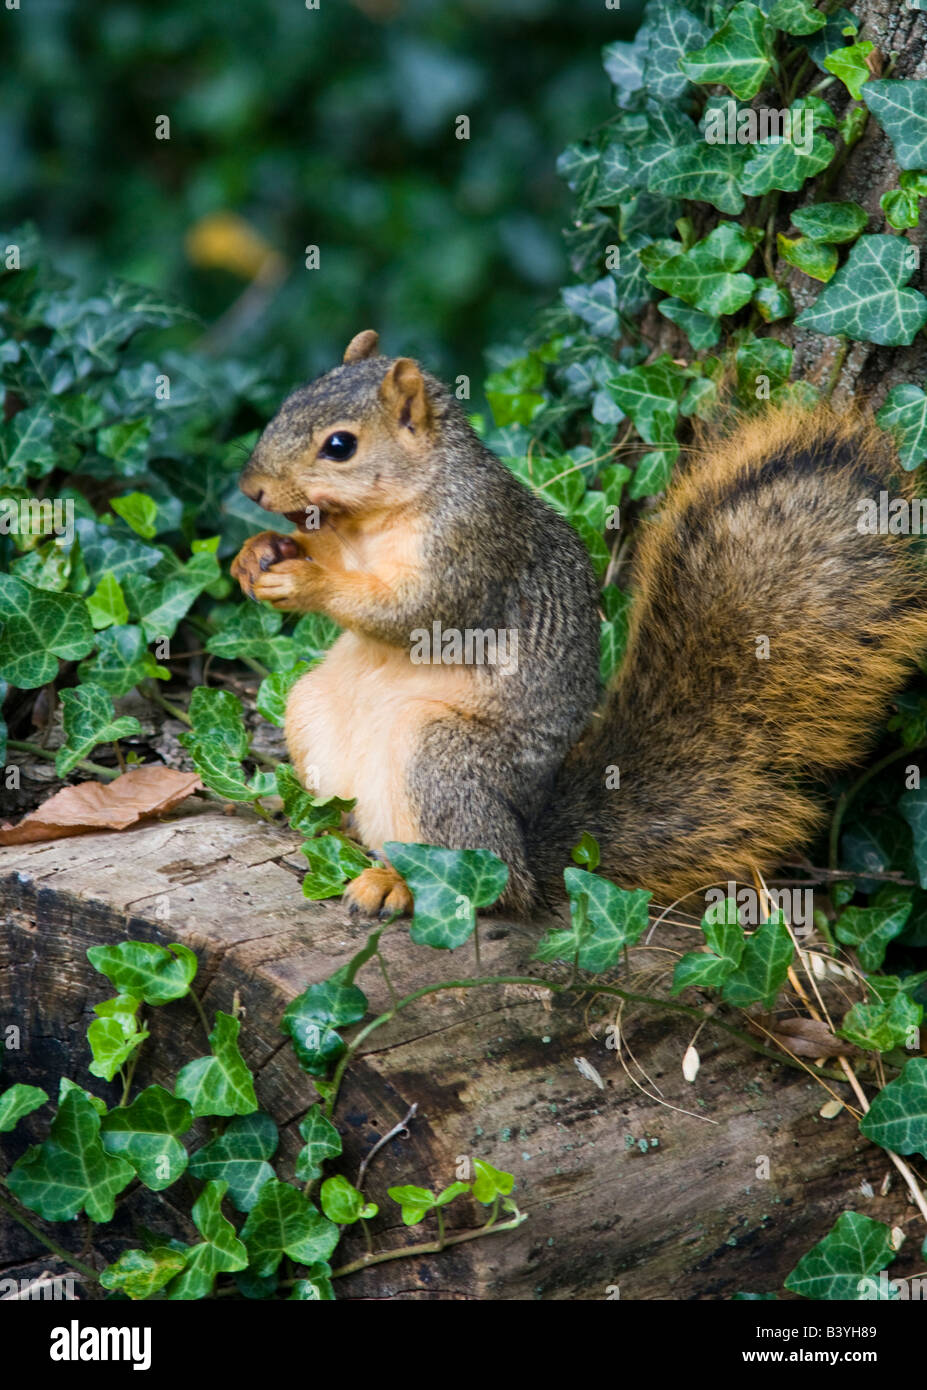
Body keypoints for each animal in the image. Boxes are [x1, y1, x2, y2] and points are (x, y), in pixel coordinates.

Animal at [231, 329, 927, 919]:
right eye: (291, 400)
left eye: (340, 445)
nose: (251, 490)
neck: (378, 519)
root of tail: (530, 841)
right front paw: (258, 553)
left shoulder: (473, 549)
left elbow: (414, 612)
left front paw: (307, 582)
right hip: (310, 708)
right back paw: (325, 829)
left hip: (439, 759)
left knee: (494, 883)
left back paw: (400, 883)